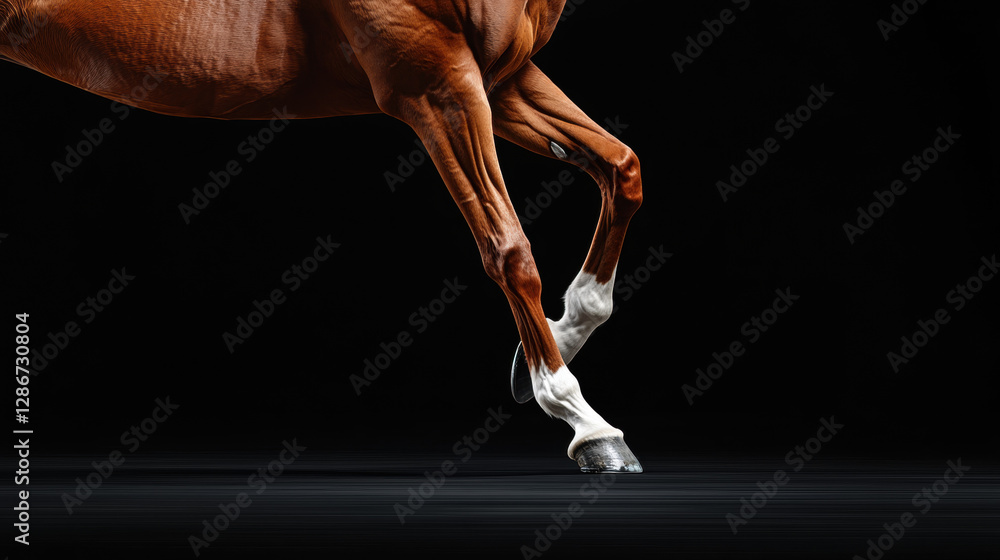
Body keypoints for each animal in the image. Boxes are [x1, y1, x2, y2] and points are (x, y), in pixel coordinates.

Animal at [1, 0, 644, 472]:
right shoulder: (437, 83)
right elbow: (509, 250)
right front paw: (583, 419)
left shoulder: (498, 78)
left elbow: (622, 170)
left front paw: (563, 336)